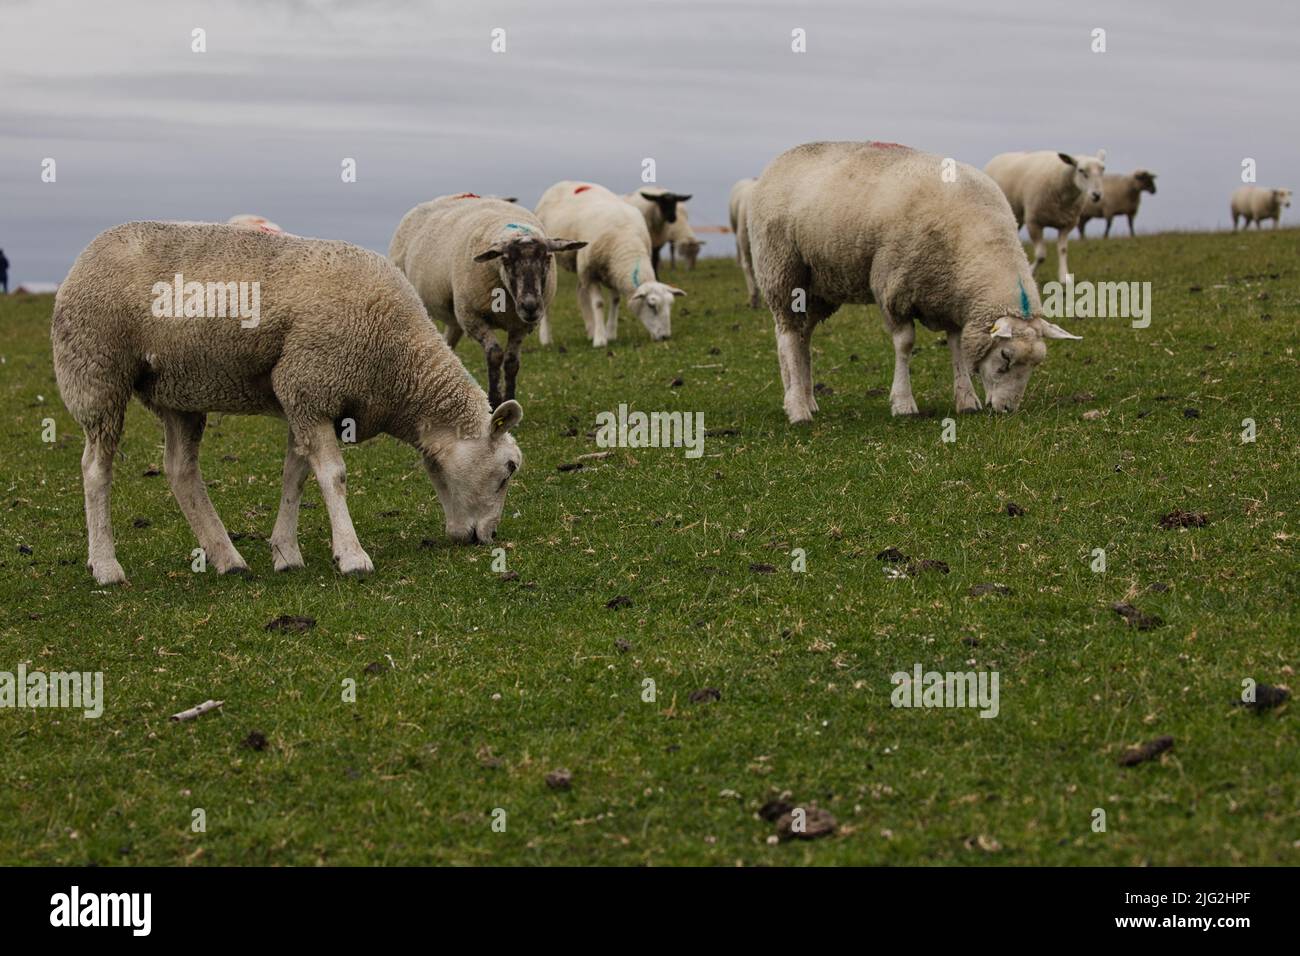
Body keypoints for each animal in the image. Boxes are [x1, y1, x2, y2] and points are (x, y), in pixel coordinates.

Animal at [51, 221, 525, 586]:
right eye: (508, 470)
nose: (486, 537)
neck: (400, 365)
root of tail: (86, 254)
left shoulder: (305, 401)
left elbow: (295, 475)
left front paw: (286, 553)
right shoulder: (308, 385)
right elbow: (333, 475)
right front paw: (352, 556)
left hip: (178, 390)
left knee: (181, 471)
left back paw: (227, 558)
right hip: (96, 373)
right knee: (95, 469)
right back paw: (107, 566)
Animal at [389, 194, 585, 408]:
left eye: (548, 258)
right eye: (506, 260)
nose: (530, 306)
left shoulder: (520, 326)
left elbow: (511, 362)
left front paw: (509, 400)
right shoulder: (471, 317)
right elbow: (495, 354)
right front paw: (494, 401)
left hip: (455, 317)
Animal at [535, 181, 685, 348]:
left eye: (670, 305)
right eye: (651, 305)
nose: (665, 337)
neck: (627, 244)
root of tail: (564, 182)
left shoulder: (613, 271)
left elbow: (615, 300)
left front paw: (610, 334)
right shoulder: (591, 272)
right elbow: (599, 303)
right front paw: (600, 339)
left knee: (581, 292)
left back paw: (590, 329)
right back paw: (546, 338)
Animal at [747, 141, 1080, 424]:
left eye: (1036, 363)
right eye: (1006, 356)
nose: (1008, 409)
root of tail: (779, 160)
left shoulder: (950, 296)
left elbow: (956, 346)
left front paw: (966, 400)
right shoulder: (893, 286)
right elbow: (905, 344)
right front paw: (904, 403)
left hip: (819, 288)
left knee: (801, 338)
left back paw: (804, 396)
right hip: (782, 267)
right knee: (788, 336)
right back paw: (798, 409)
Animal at [984, 149, 1106, 281]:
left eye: (1103, 170)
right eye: (1081, 170)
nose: (1097, 195)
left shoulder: (1067, 224)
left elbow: (1063, 250)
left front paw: (1064, 277)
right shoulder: (1033, 222)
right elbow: (1041, 255)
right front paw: (1031, 272)